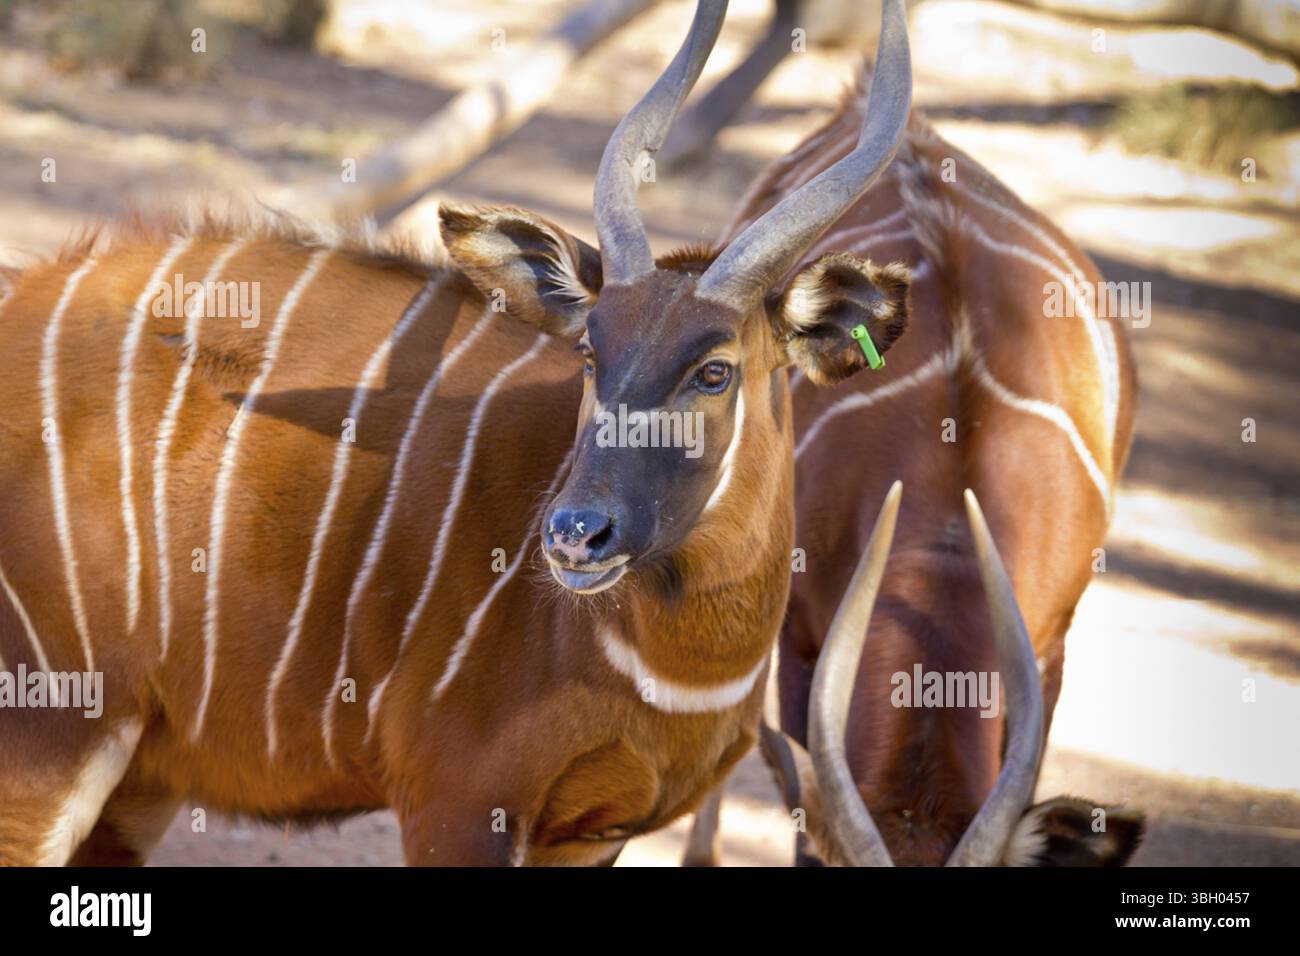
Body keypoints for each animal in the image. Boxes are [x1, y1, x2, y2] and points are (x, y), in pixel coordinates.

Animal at [0, 0, 918, 866]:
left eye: (715, 370)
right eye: (591, 351)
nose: (575, 535)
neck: (675, 665)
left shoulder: (591, 833)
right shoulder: (459, 802)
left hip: (135, 781)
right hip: (49, 740)